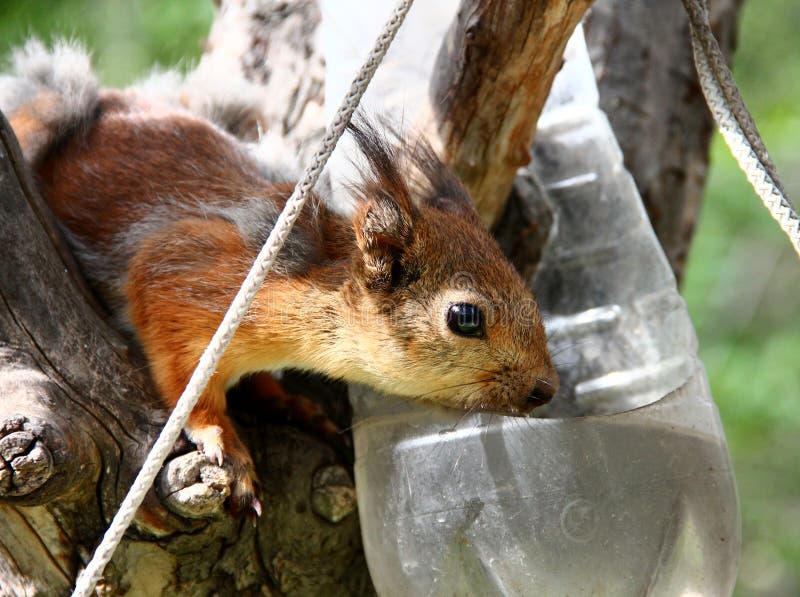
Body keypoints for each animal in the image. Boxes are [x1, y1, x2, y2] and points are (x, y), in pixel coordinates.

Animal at [1, 40, 558, 515]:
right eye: (464, 317)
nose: (545, 390)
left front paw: (288, 402)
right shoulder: (178, 275)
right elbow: (184, 383)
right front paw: (222, 438)